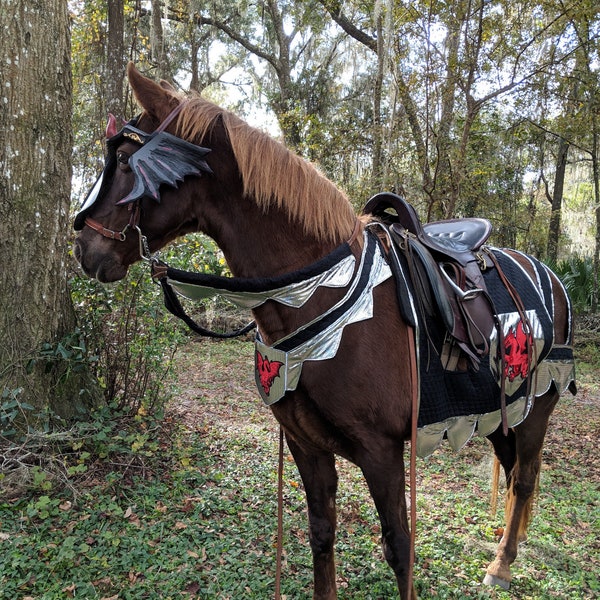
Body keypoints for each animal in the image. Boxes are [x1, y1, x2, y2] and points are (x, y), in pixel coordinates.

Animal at [75, 63, 576, 596]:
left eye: (124, 159)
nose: (83, 245)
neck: (317, 290)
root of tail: (551, 276)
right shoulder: (306, 443)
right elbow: (321, 534)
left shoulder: (381, 451)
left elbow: (399, 548)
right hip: (505, 411)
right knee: (513, 469)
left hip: (537, 407)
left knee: (524, 478)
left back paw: (502, 563)